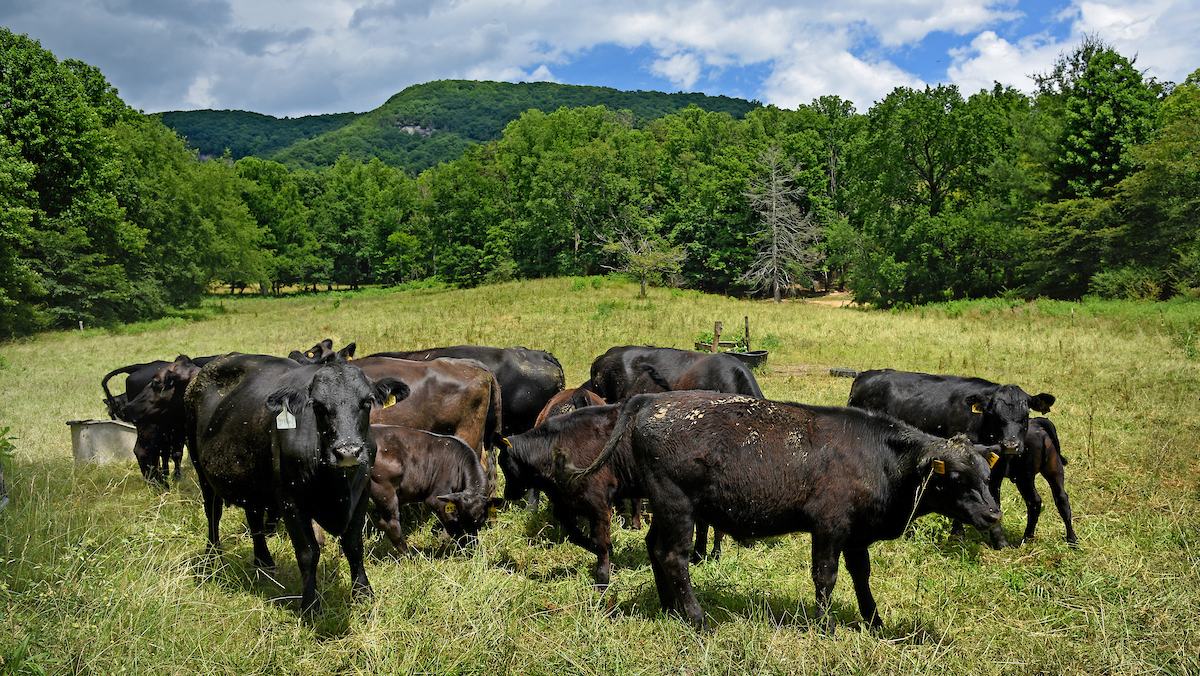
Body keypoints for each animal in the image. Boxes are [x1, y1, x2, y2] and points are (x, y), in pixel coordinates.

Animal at [184, 353, 409, 612]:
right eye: (318, 406)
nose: (348, 451)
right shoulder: (290, 502)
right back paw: (212, 561)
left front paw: (363, 593)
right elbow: (308, 553)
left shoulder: (361, 493)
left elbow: (353, 546)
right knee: (213, 514)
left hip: (252, 476)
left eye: (367, 402)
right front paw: (310, 605)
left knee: (254, 517)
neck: (335, 489)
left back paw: (264, 562)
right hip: (201, 468)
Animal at [369, 425, 500, 552]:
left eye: (481, 520)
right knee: (390, 524)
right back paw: (409, 555)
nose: (470, 543)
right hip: (384, 489)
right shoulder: (436, 498)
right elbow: (452, 526)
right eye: (461, 519)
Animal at [561, 391, 1002, 631]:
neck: (878, 456)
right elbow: (826, 577)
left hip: (668, 511)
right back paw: (697, 618)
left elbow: (861, 576)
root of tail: (652, 400)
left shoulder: (856, 534)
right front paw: (825, 626)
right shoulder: (829, 527)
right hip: (677, 506)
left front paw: (874, 621)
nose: (994, 516)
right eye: (956, 478)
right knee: (674, 556)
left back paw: (670, 608)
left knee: (655, 548)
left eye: (986, 475)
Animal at [847, 369, 1055, 548]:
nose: (1011, 445)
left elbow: (994, 501)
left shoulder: (993, 473)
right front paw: (957, 535)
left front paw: (1000, 542)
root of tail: (866, 375)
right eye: (994, 415)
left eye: (1025, 416)